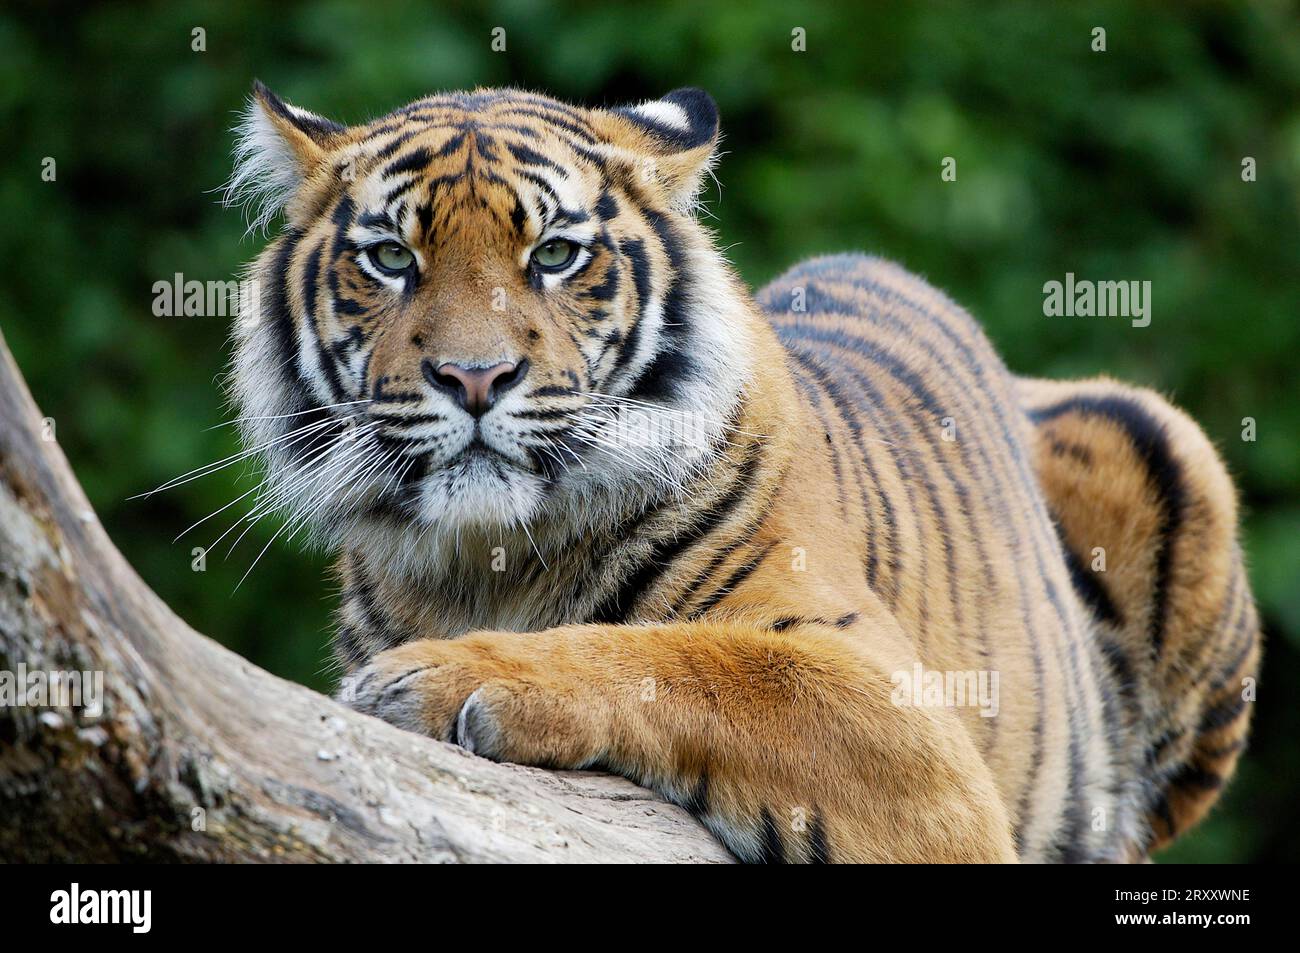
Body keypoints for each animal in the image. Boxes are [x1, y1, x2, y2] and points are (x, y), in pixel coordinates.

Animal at [224, 82, 1260, 863]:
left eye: (554, 253)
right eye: (390, 257)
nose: (474, 377)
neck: (489, 559)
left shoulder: (913, 724)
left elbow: (686, 656)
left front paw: (447, 677)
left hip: (1170, 450)